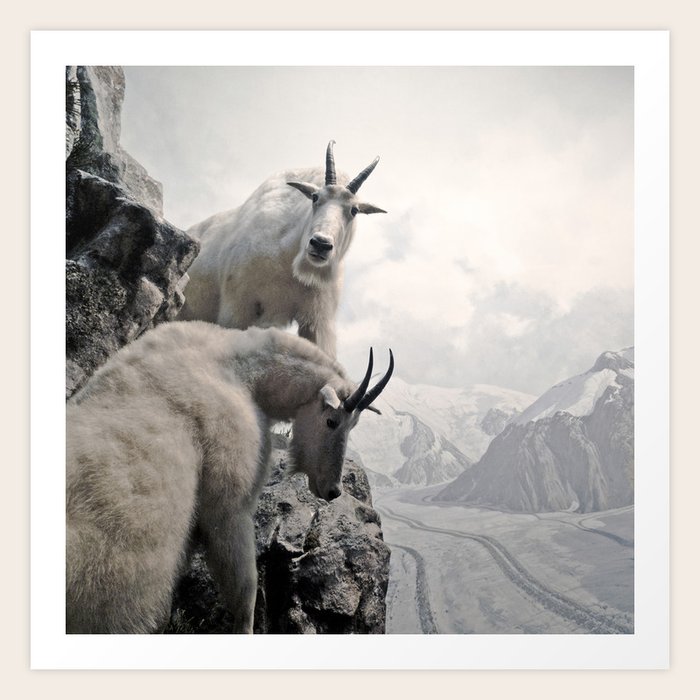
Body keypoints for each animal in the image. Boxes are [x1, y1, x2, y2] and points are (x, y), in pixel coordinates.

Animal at [65, 320, 394, 634]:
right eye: (331, 421)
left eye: (353, 425)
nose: (333, 490)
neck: (237, 366)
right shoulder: (229, 502)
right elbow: (245, 587)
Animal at [178, 141, 386, 357]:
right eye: (314, 197)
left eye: (354, 210)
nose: (320, 244)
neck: (291, 264)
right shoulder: (238, 306)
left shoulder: (317, 320)